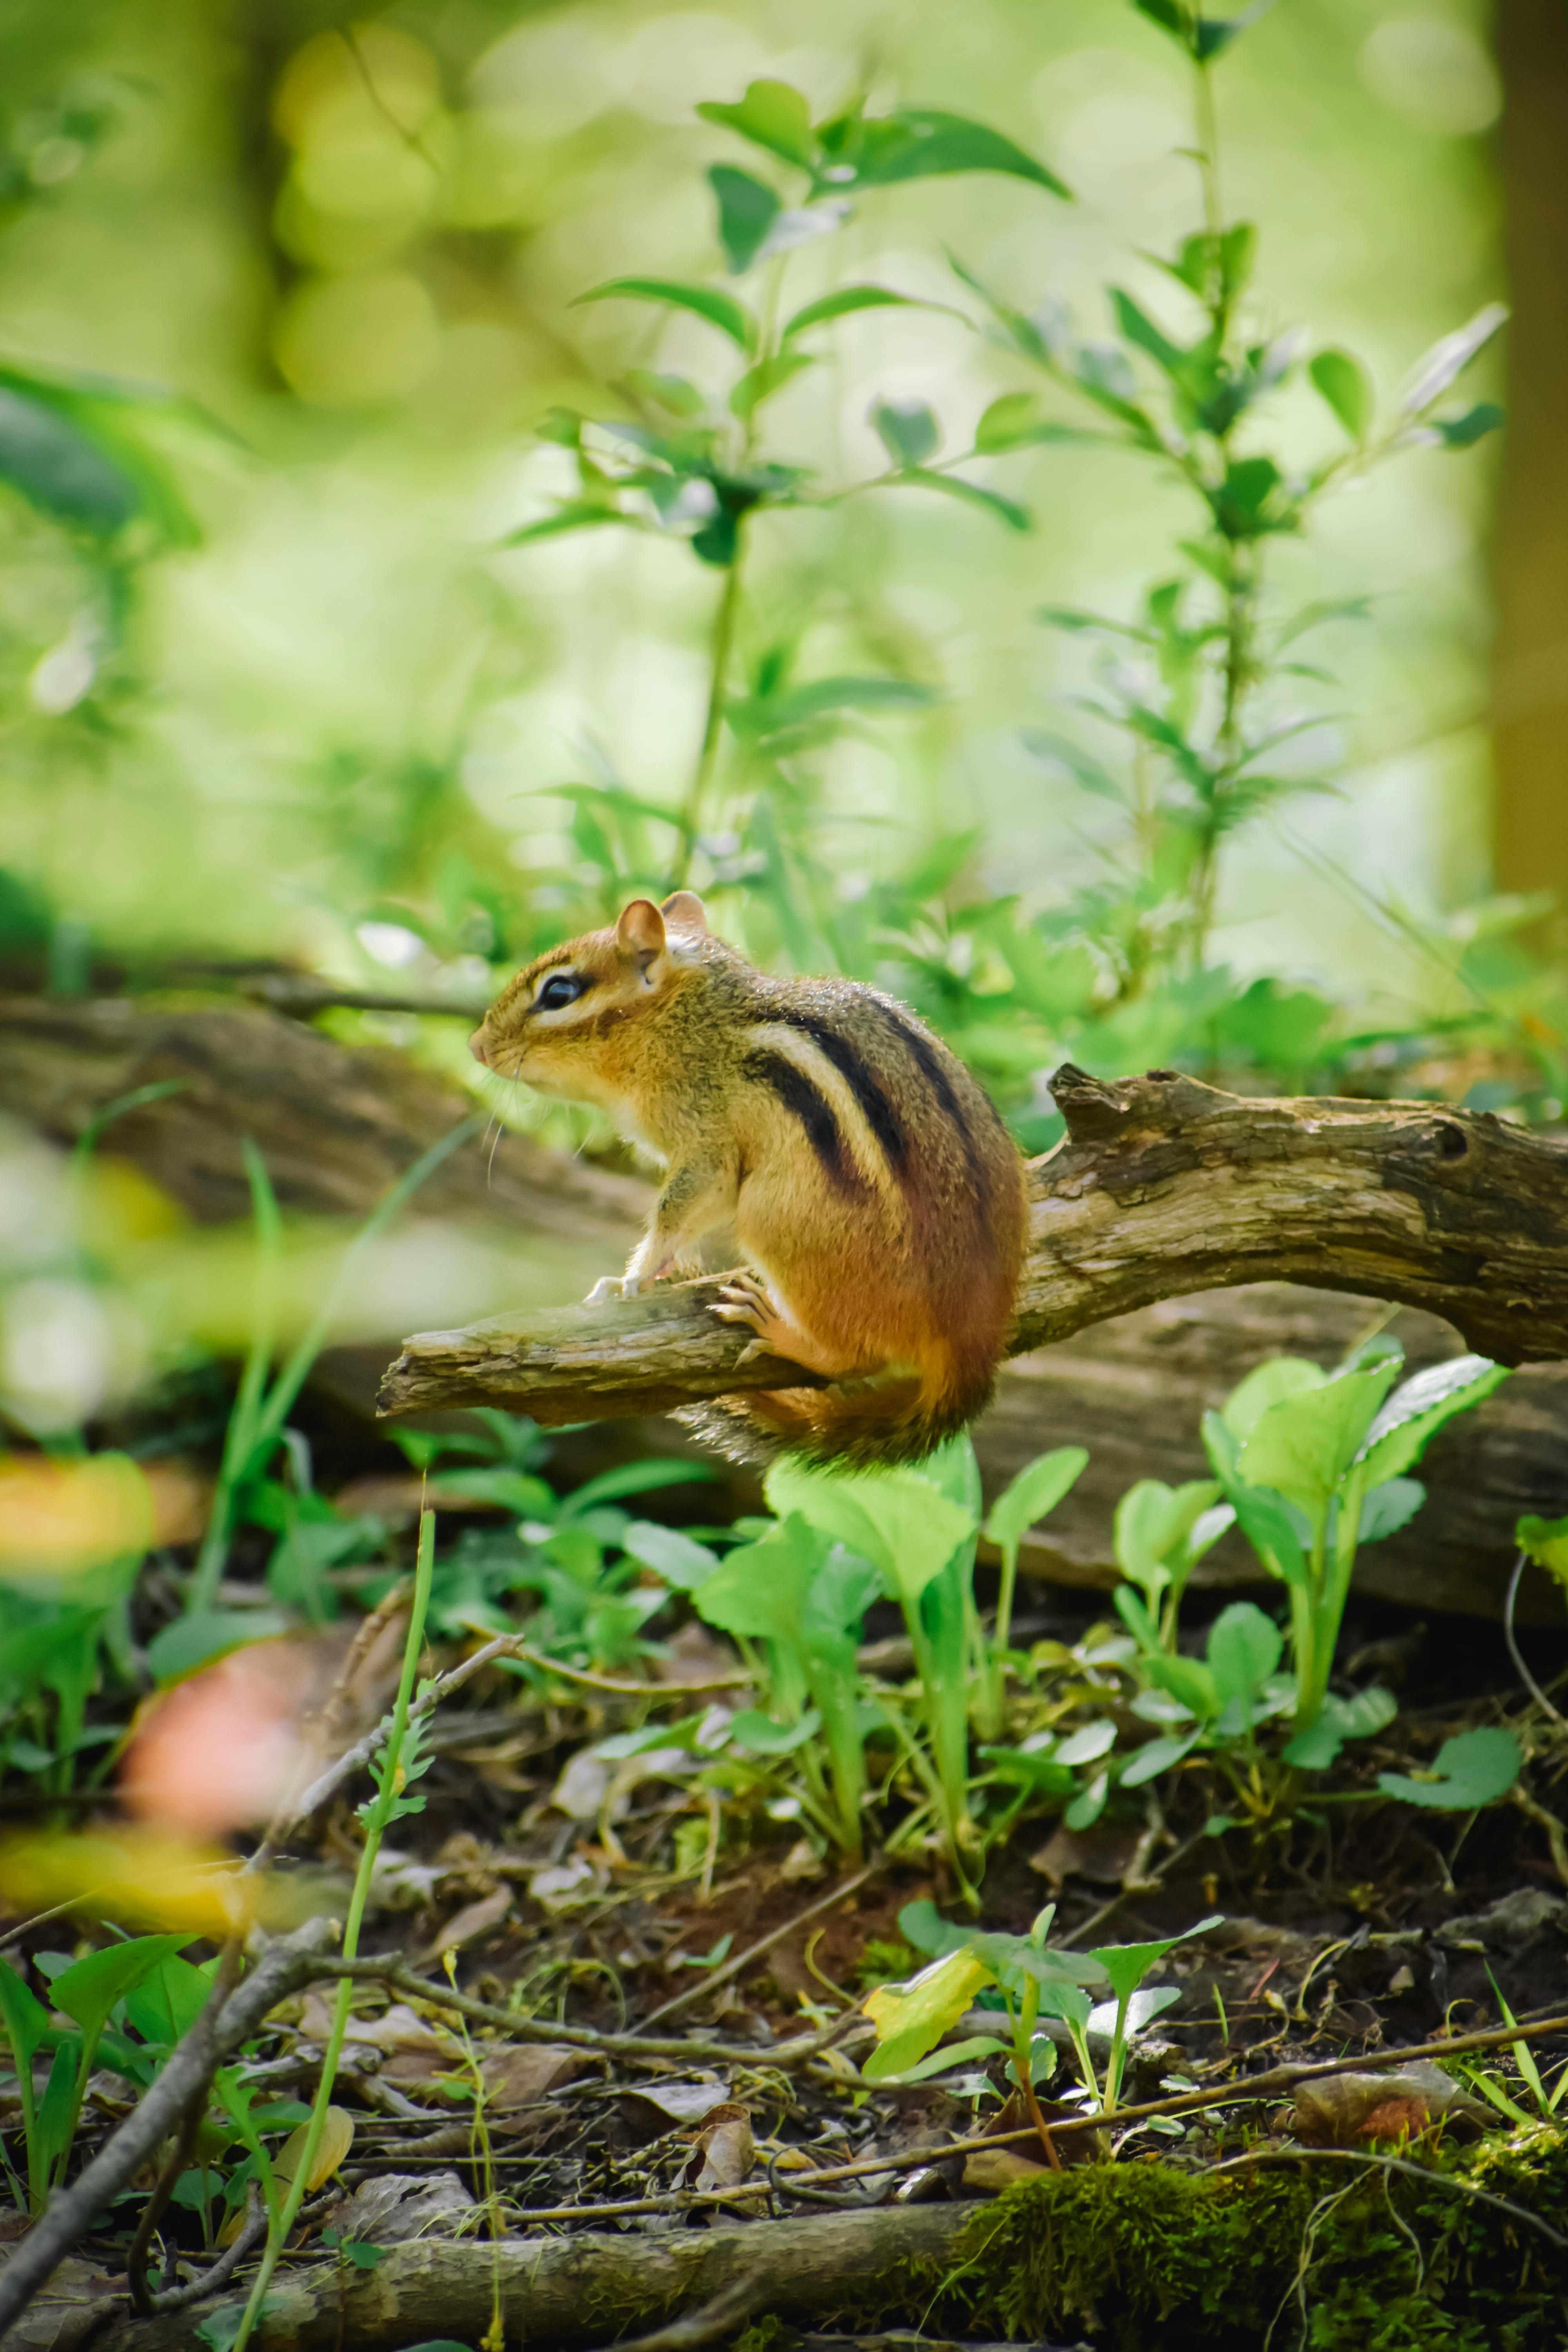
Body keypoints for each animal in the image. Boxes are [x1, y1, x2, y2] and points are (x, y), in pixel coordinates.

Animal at [470, 891, 1027, 1467]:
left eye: (559, 992)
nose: (476, 1046)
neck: (688, 1019)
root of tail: (969, 1346)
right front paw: (662, 1272)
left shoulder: (706, 1143)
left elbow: (679, 1209)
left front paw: (631, 1280)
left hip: (771, 1215)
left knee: (856, 1359)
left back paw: (782, 1331)